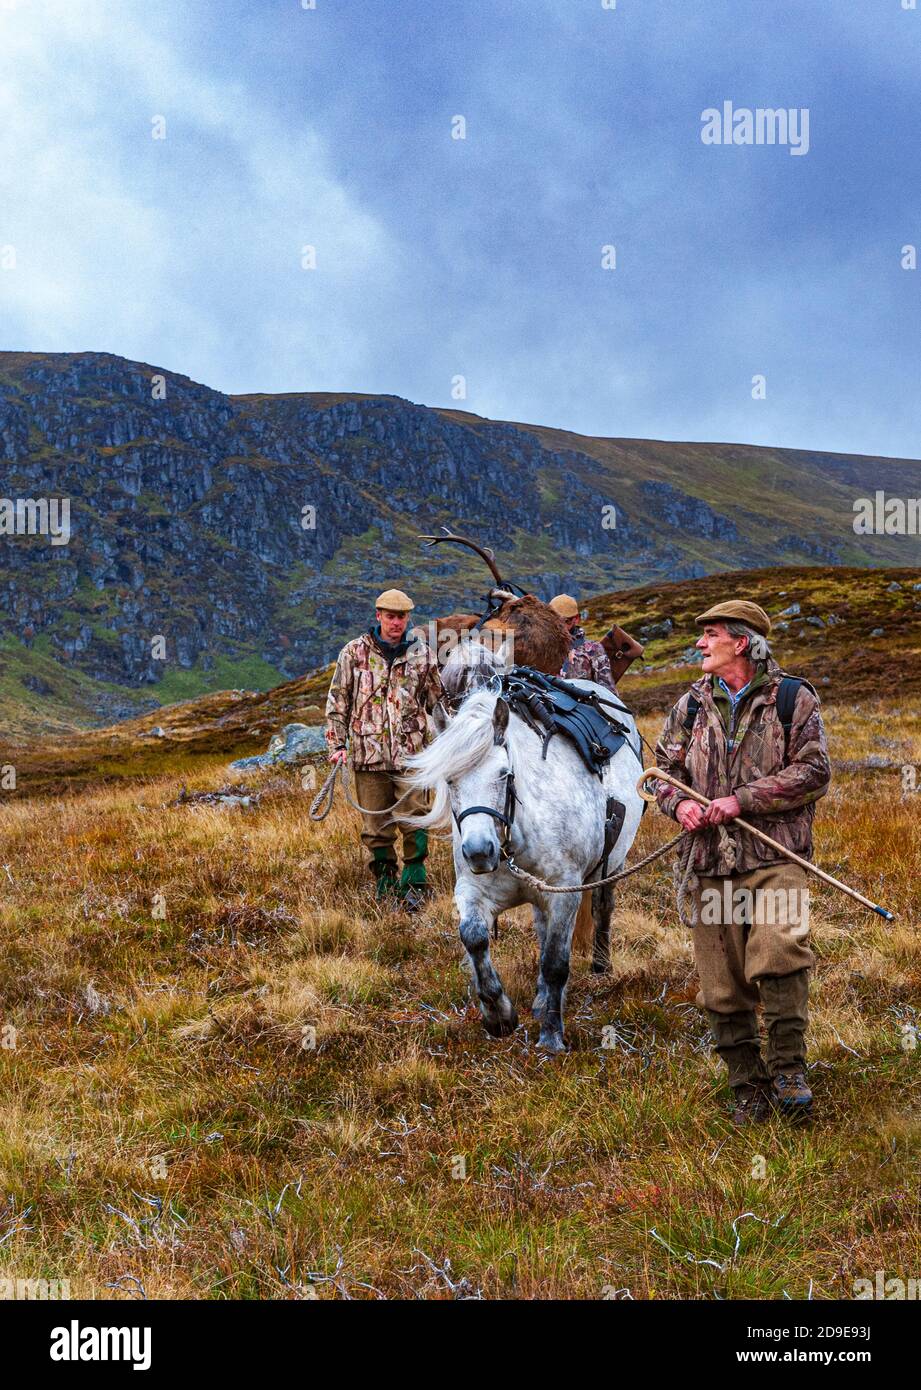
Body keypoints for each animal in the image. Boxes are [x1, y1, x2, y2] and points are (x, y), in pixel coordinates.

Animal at [404, 642, 644, 1052]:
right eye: (449, 780)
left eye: (504, 774)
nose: (479, 852)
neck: (515, 834)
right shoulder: (472, 890)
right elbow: (475, 938)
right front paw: (499, 1015)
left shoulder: (565, 890)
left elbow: (556, 962)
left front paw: (551, 1035)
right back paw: (540, 999)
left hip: (610, 866)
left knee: (602, 909)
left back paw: (599, 967)